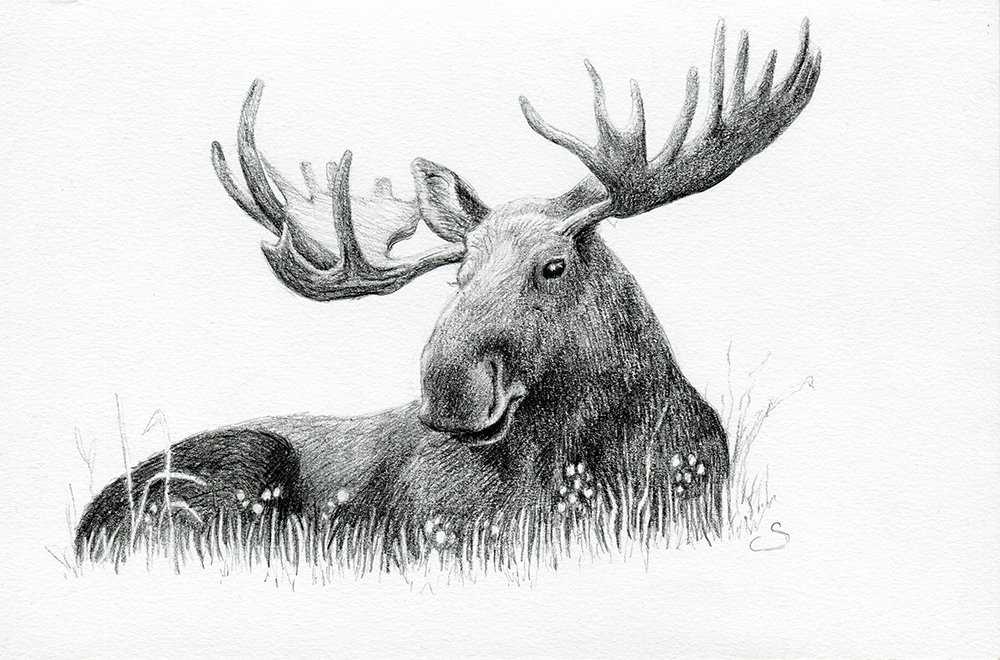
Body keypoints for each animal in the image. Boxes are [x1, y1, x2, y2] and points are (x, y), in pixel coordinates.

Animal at [75, 19, 820, 566]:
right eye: (459, 276)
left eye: (553, 266)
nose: (448, 389)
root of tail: (84, 530)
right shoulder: (443, 538)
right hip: (239, 466)